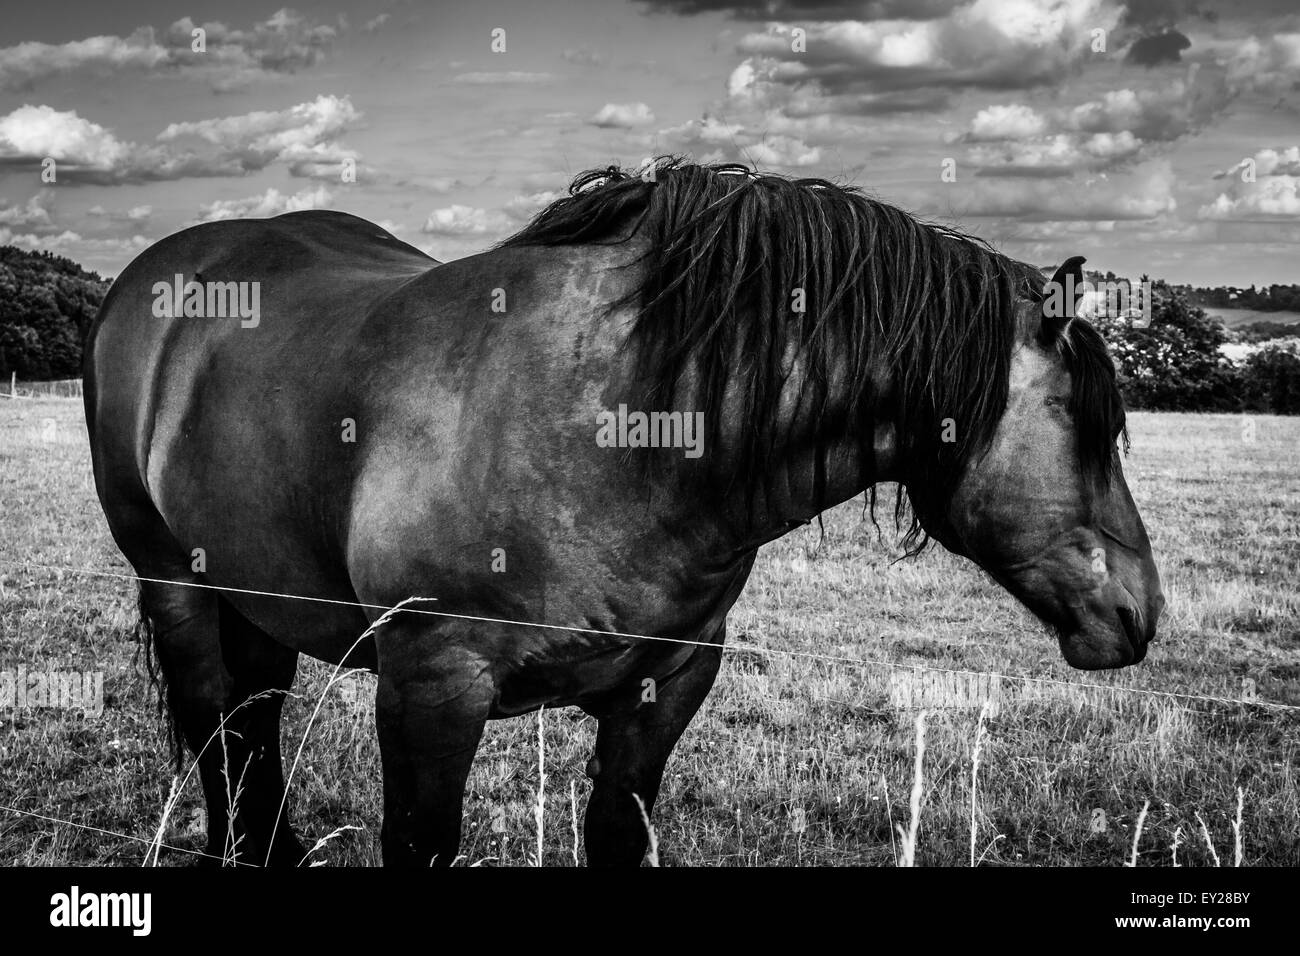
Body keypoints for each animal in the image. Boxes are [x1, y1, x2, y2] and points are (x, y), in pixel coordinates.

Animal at [84, 159, 1164, 867]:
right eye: (1082, 424)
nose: (1140, 612)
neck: (620, 432)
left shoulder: (667, 686)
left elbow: (615, 833)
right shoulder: (431, 683)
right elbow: (419, 841)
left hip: (253, 593)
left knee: (252, 724)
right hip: (174, 583)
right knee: (218, 722)